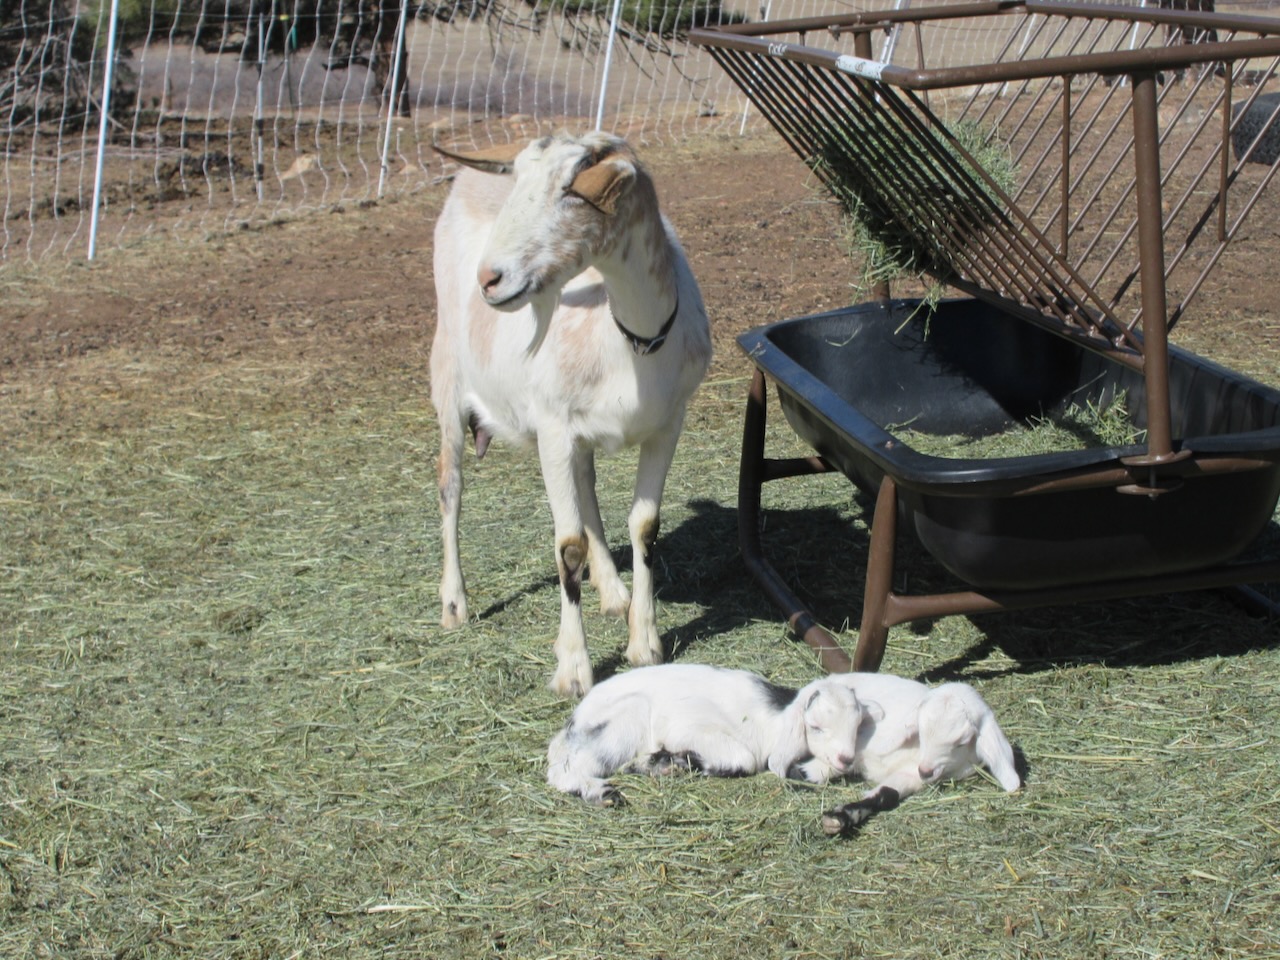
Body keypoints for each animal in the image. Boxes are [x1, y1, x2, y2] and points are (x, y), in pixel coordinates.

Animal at [430, 133, 712, 697]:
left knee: (585, 486)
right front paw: (573, 669)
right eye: (518, 180)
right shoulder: (553, 426)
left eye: (571, 191)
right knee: (451, 487)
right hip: (446, 374)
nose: (490, 278)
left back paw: (614, 592)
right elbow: (568, 546)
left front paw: (644, 643)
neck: (632, 338)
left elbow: (644, 526)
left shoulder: (668, 422)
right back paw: (455, 604)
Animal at [546, 663, 870, 806]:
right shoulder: (688, 726)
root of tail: (575, 718)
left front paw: (664, 762)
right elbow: (744, 759)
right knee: (565, 770)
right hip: (625, 718)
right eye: (815, 726)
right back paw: (601, 792)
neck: (773, 719)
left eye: (857, 725)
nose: (845, 759)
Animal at [787, 674, 1020, 835]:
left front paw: (842, 817)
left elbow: (886, 794)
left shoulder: (910, 776)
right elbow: (801, 772)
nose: (926, 771)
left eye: (962, 742)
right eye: (921, 730)